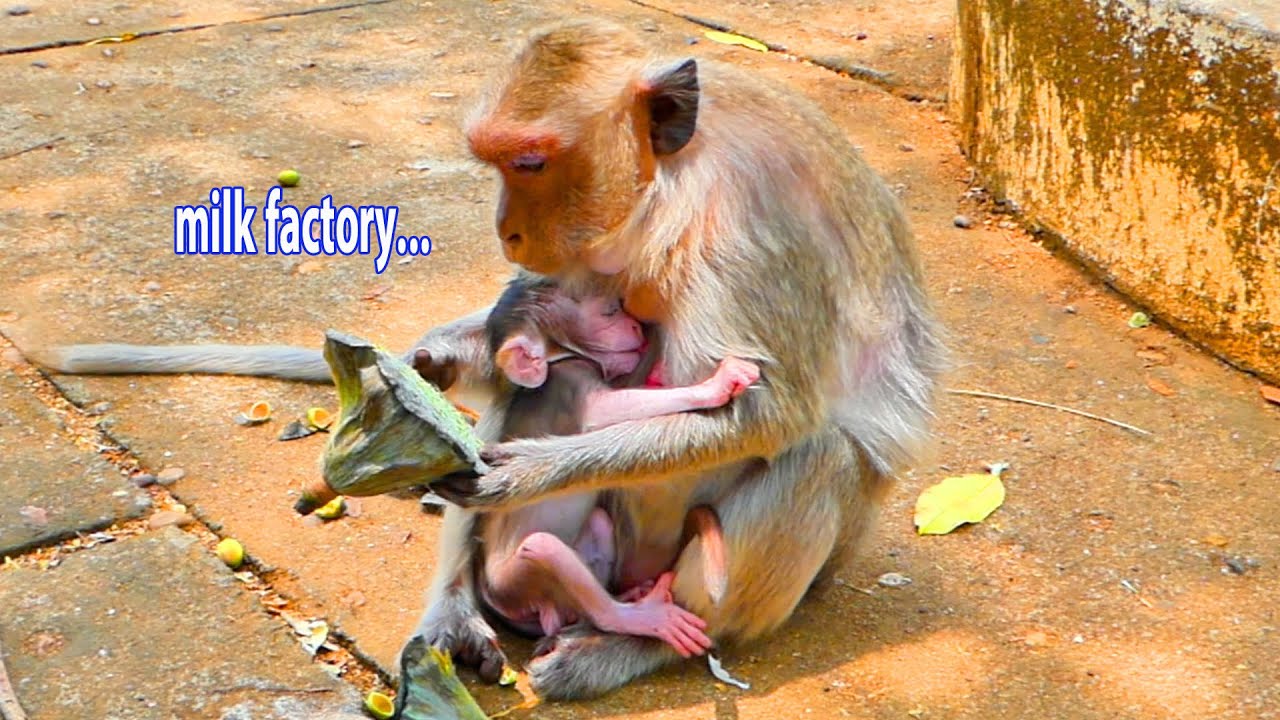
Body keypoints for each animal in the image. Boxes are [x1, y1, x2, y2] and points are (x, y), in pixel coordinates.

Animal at [411, 18, 948, 700]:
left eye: (530, 164)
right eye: (501, 164)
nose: (507, 231)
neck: (673, 187)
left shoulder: (750, 238)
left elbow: (772, 418)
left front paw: (525, 472)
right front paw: (440, 356)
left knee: (819, 457)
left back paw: (640, 642)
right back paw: (457, 609)